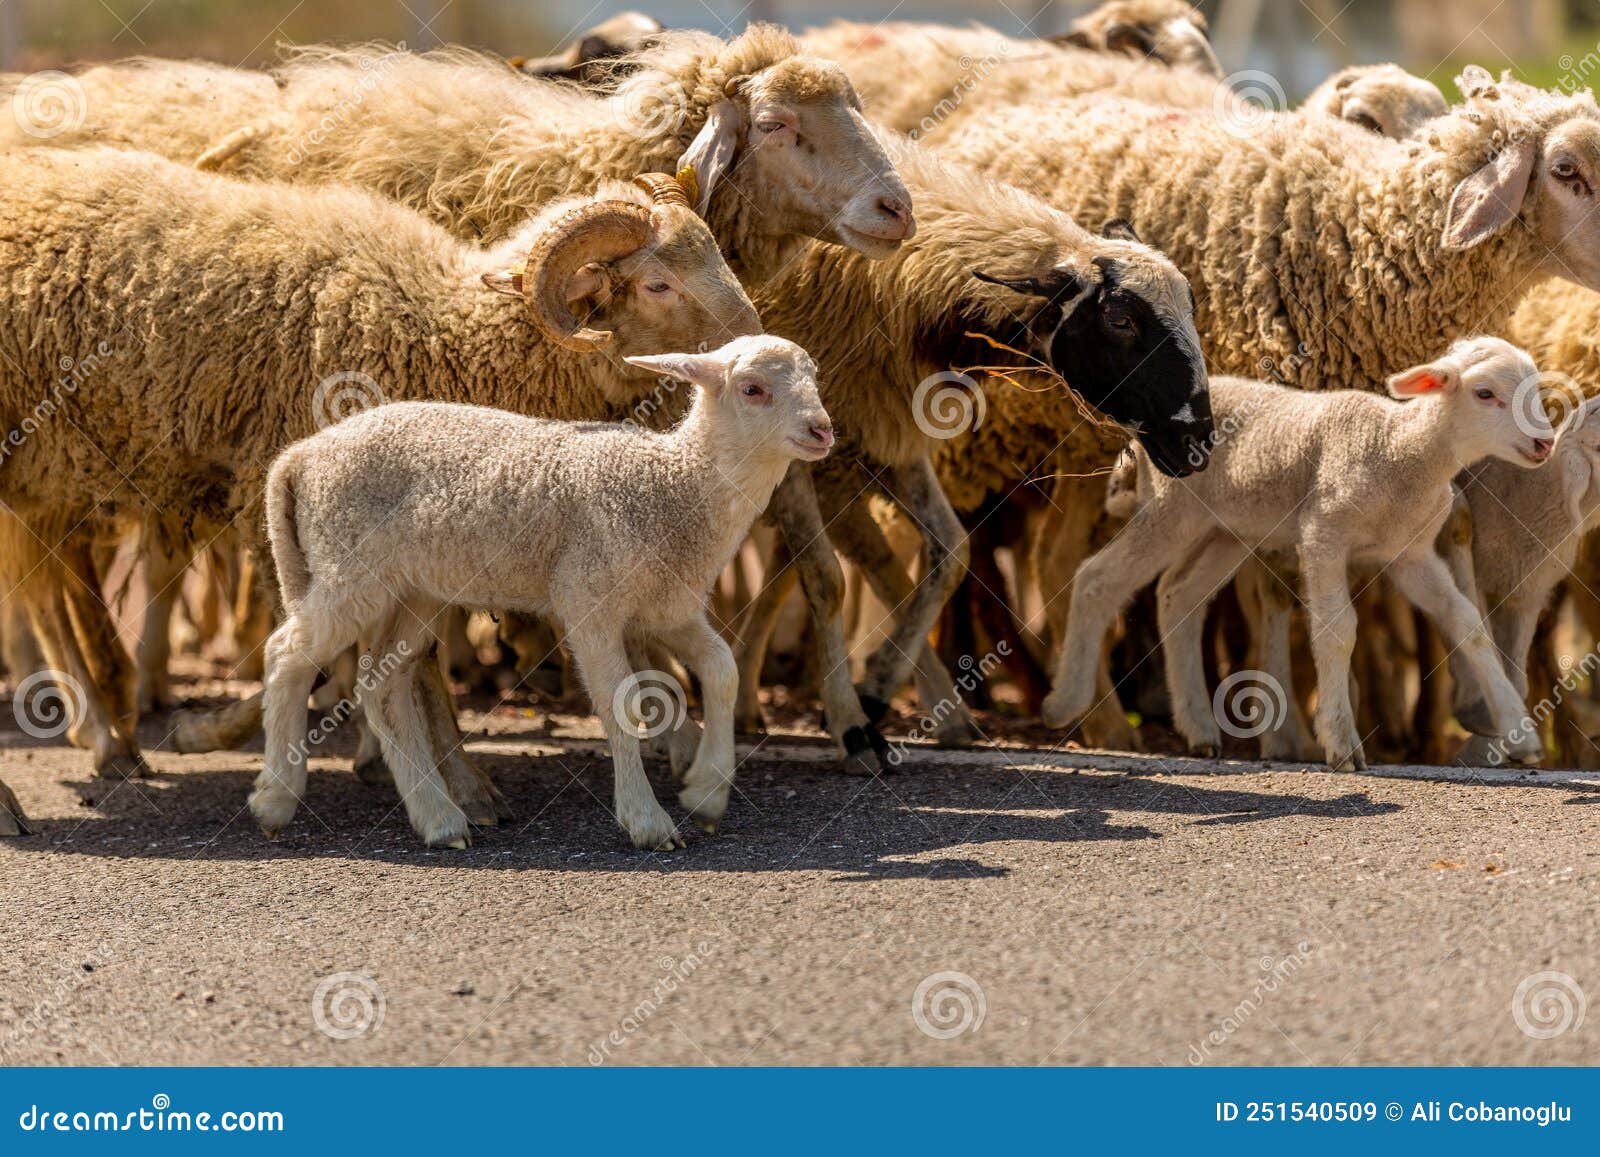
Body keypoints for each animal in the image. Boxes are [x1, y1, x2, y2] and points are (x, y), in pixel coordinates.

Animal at [0, 147, 759, 826]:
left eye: (716, 253)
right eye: (659, 284)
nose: (756, 340)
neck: (442, 331)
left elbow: (398, 656)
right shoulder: (296, 510)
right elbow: (383, 660)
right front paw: (460, 784)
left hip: (44, 474)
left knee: (44, 585)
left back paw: (105, 735)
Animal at [255, 336, 829, 850]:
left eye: (815, 377)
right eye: (752, 389)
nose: (822, 429)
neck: (670, 486)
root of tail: (301, 456)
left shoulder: (669, 608)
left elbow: (724, 672)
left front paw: (706, 792)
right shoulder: (588, 598)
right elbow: (623, 704)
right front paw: (646, 820)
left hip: (412, 589)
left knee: (381, 685)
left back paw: (438, 818)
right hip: (349, 569)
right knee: (286, 653)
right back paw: (275, 798)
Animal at [1044, 337, 1552, 771]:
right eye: (1485, 393)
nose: (1545, 443)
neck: (1401, 448)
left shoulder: (1409, 555)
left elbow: (1470, 624)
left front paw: (1521, 735)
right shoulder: (1323, 532)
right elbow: (1337, 630)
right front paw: (1341, 742)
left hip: (1226, 528)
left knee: (1177, 595)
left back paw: (1199, 728)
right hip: (1171, 508)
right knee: (1096, 579)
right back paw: (1066, 703)